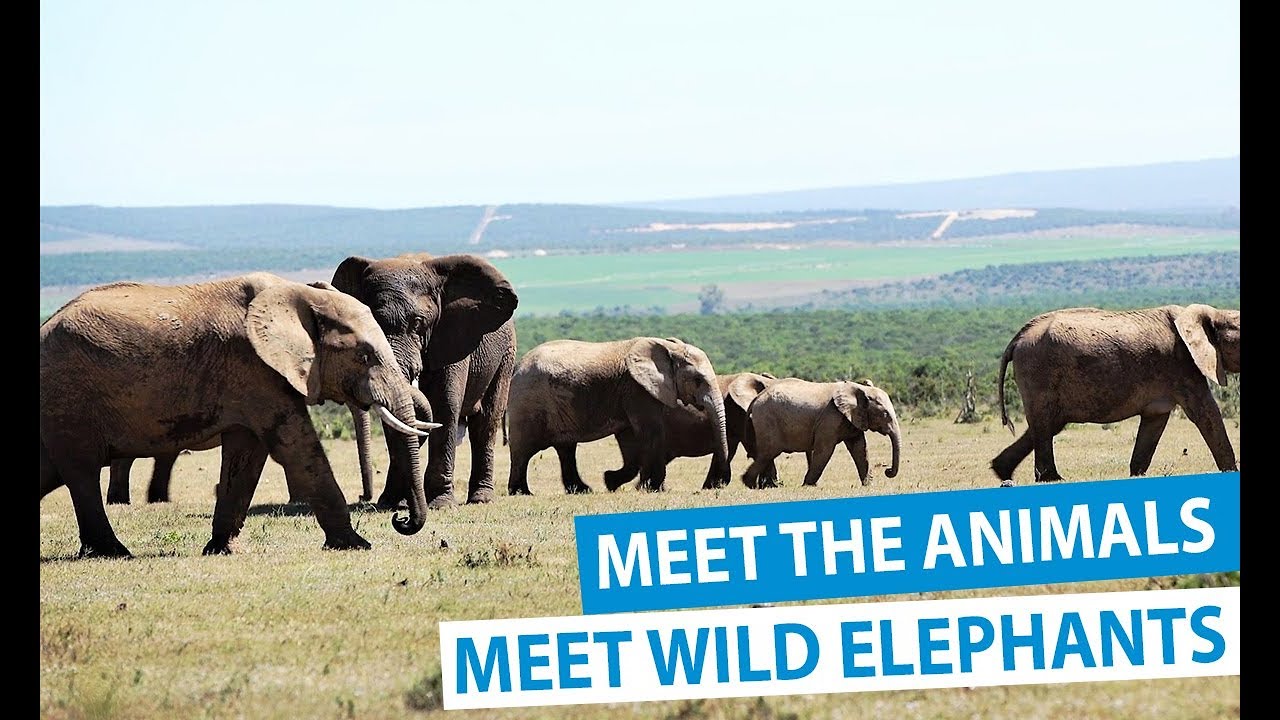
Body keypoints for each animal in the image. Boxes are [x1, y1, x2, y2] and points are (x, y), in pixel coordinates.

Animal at [39, 273, 440, 558]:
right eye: (364, 356)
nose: (400, 519)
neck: (299, 294)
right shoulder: (255, 369)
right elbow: (296, 448)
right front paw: (357, 545)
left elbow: (247, 455)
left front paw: (222, 549)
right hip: (67, 395)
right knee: (81, 470)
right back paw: (115, 553)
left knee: (57, 470)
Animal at [331, 253, 518, 509]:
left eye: (418, 323)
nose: (362, 497)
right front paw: (393, 503)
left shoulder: (450, 337)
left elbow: (445, 406)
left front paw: (441, 504)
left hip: (506, 356)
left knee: (485, 422)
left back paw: (481, 499)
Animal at [506, 337, 730, 494]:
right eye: (698, 380)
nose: (721, 483)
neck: (667, 347)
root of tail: (517, 366)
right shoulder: (638, 389)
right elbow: (651, 432)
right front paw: (654, 489)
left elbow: (628, 438)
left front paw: (610, 481)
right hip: (527, 402)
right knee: (523, 451)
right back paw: (521, 493)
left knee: (566, 449)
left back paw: (582, 490)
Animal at [741, 379, 902, 488]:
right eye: (885, 414)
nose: (887, 471)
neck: (861, 388)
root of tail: (756, 398)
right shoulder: (830, 417)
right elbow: (825, 450)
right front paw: (807, 486)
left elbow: (860, 449)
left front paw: (868, 486)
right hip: (767, 419)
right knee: (768, 452)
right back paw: (748, 483)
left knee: (767, 454)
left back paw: (755, 484)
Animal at [991, 304, 1241, 486]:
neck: (1214, 313)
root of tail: (1018, 337)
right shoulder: (1184, 365)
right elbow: (1205, 413)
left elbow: (1154, 423)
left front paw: (1137, 475)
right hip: (1038, 370)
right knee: (1043, 423)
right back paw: (1052, 479)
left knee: (1047, 424)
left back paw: (1002, 471)